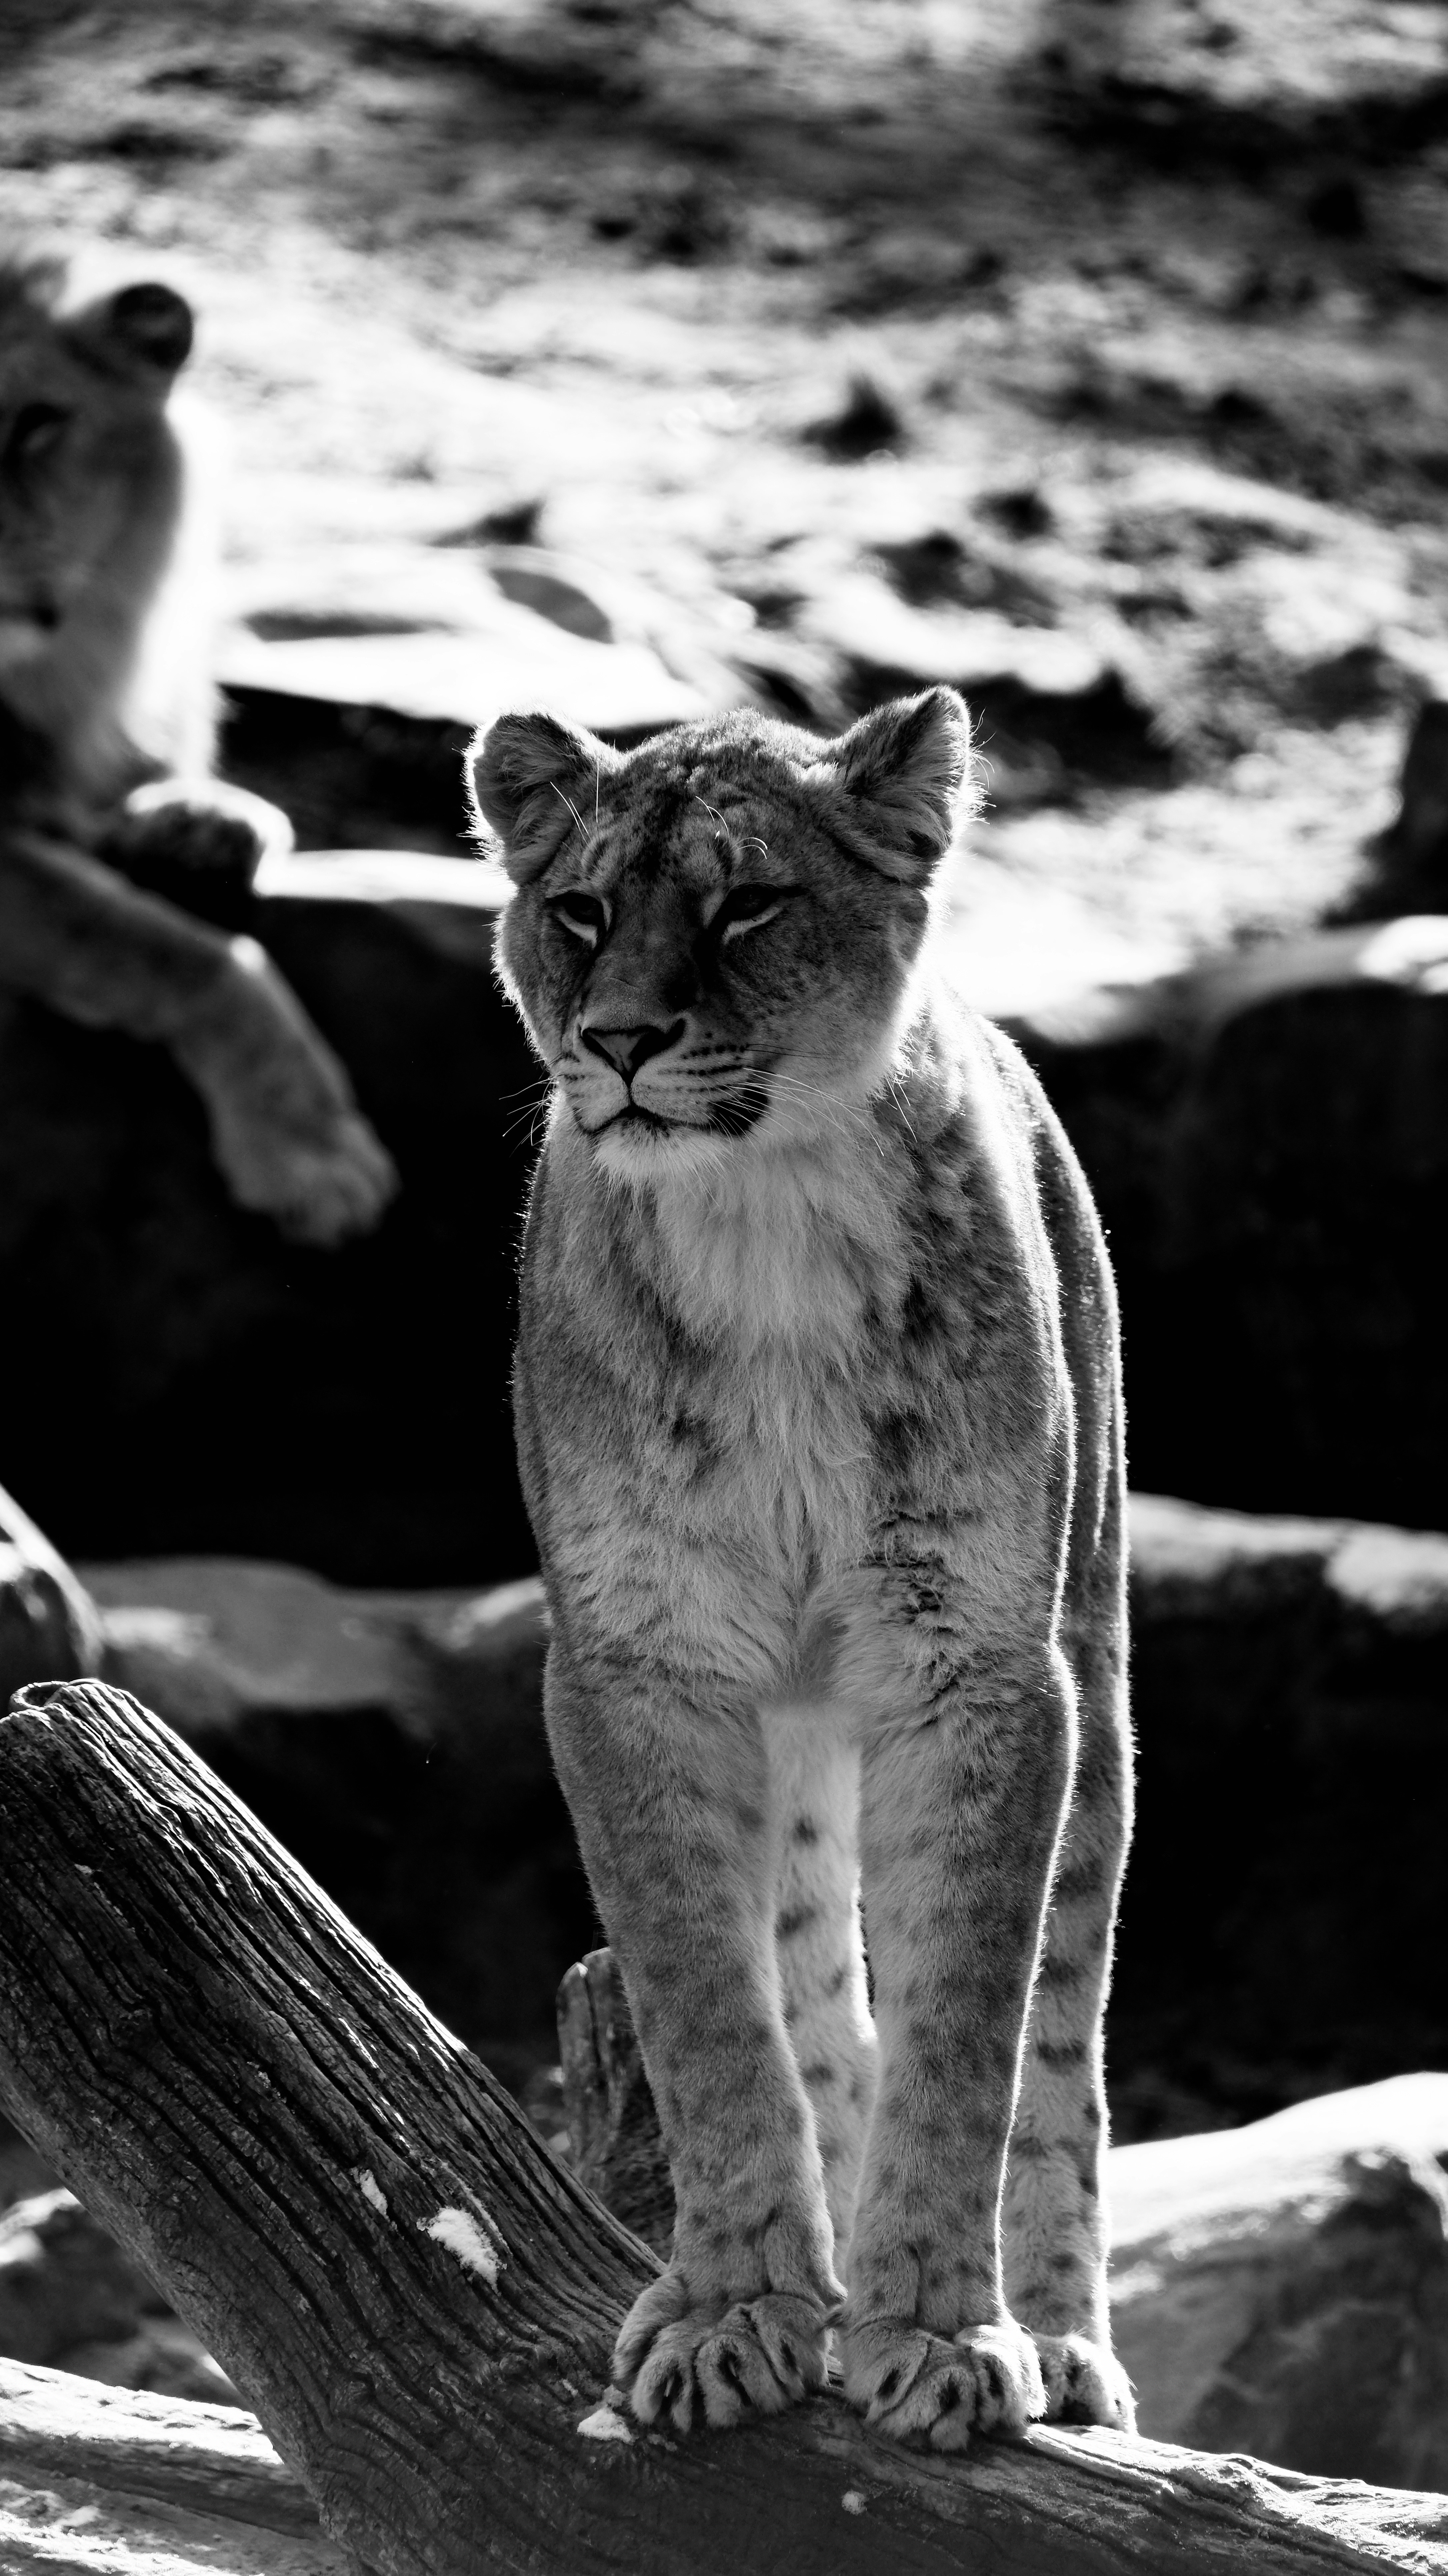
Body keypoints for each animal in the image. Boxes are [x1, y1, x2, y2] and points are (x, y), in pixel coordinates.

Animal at [470, 684, 1135, 2450]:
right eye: (581, 912)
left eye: (746, 907)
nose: (621, 1042)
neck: (757, 1212)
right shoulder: (639, 1664)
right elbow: (710, 2013)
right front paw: (735, 2310)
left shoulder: (978, 1666)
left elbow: (969, 2028)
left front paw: (945, 2334)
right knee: (814, 1988)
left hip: (1096, 1662)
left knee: (1065, 2027)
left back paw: (1061, 2345)